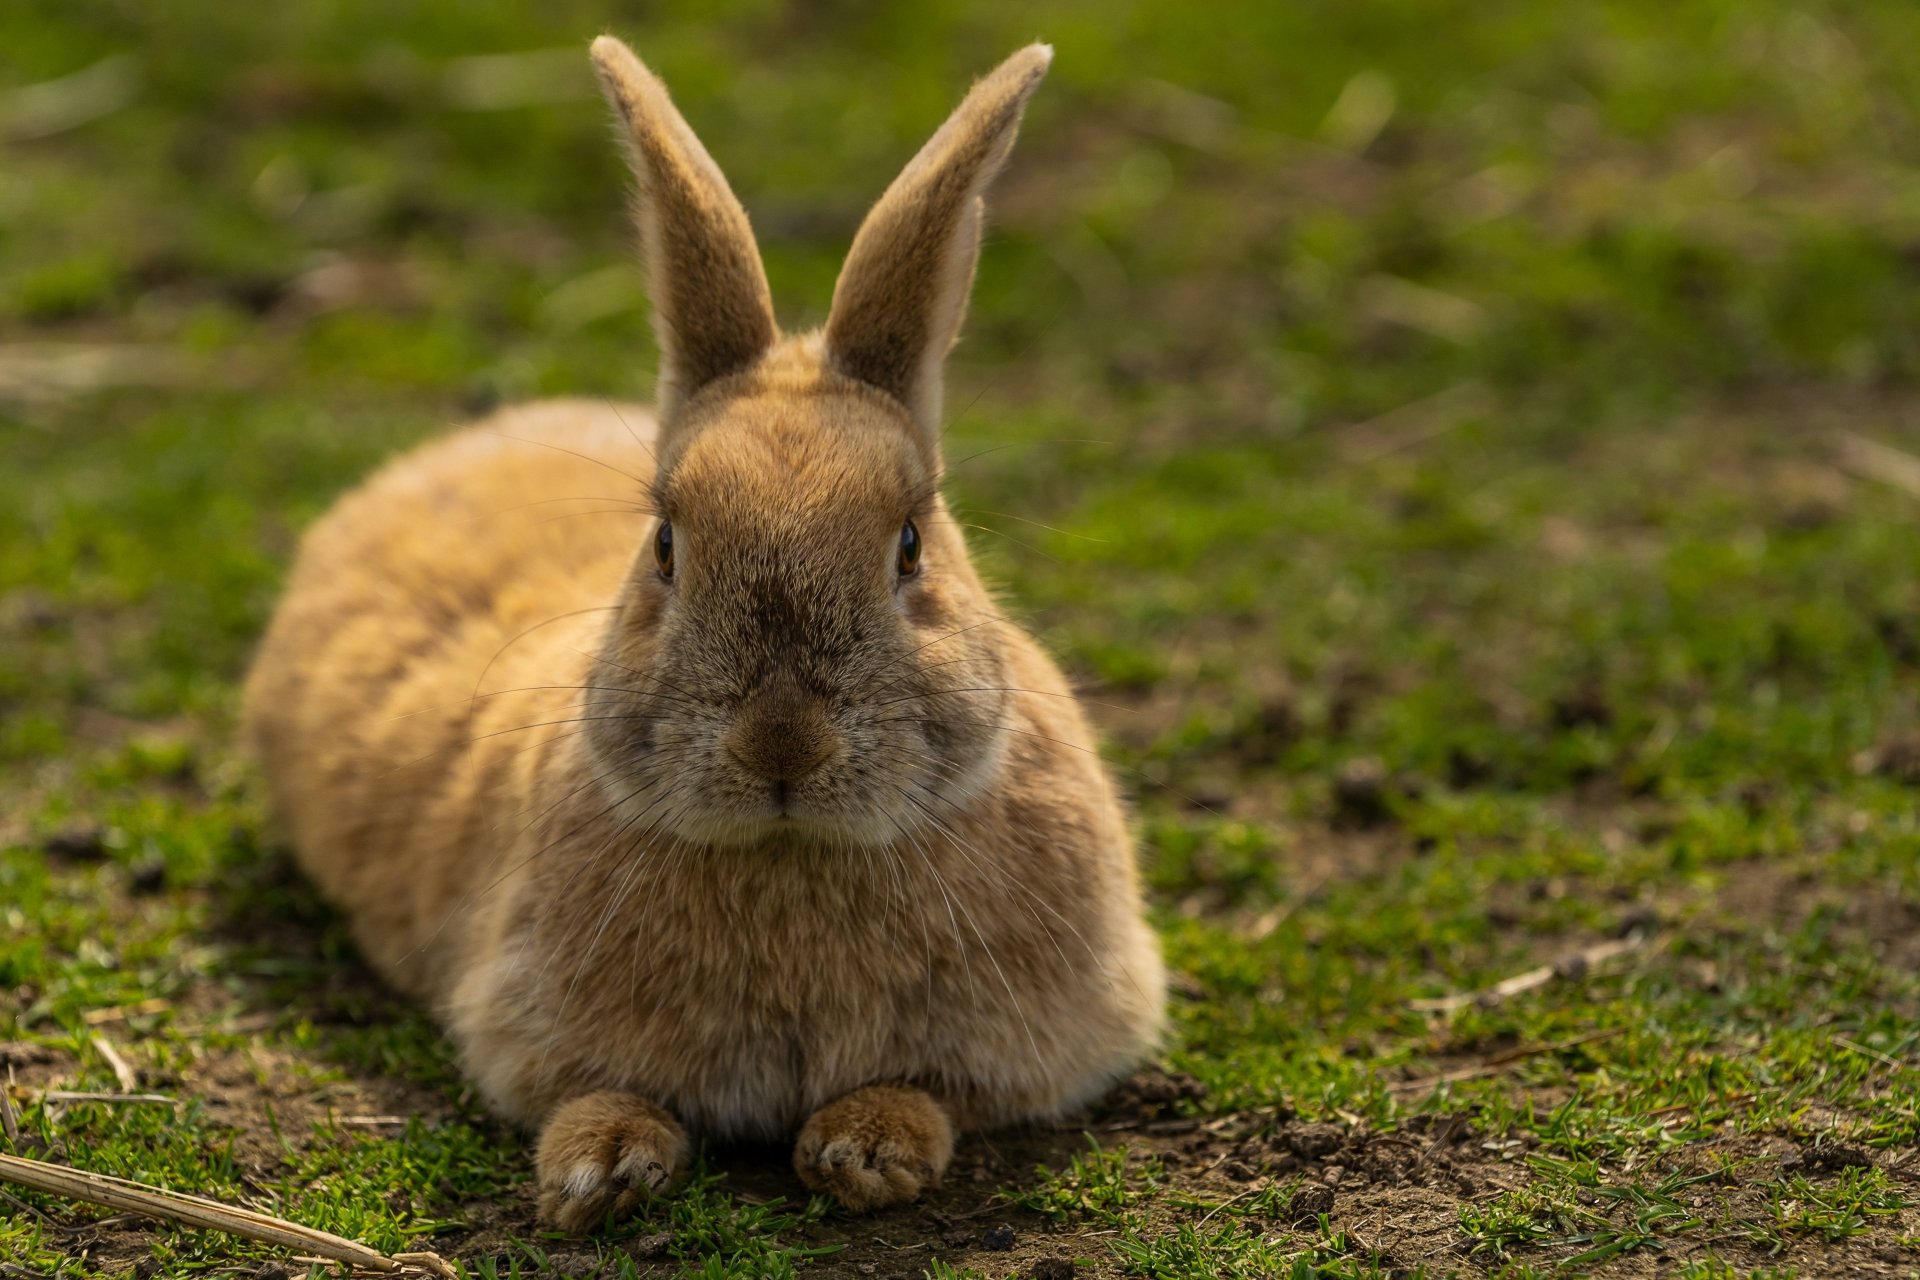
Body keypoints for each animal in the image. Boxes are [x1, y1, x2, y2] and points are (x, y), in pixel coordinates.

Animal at [241, 35, 1165, 1232]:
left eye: (911, 546)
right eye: (667, 546)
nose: (781, 744)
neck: (791, 854)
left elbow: (932, 1092)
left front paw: (869, 1146)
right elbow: (595, 1092)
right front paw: (597, 1168)